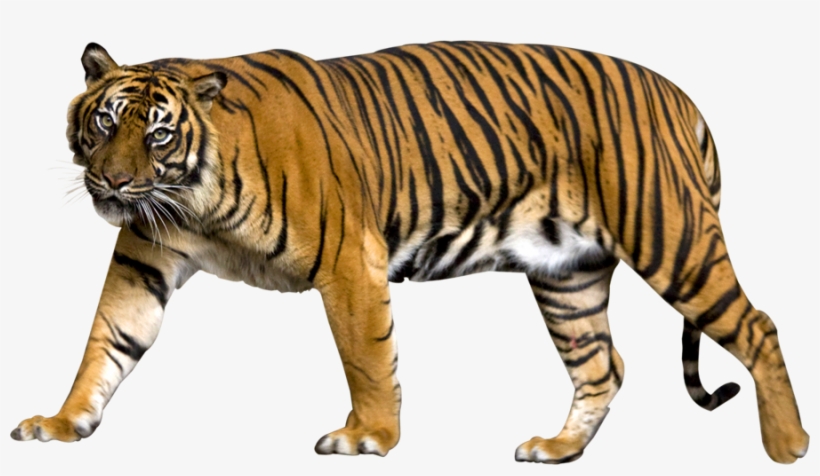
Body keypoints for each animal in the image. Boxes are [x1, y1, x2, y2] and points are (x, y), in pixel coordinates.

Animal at [9, 41, 809, 464]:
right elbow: (105, 345)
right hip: (568, 277)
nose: (113, 181)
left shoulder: (349, 261)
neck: (192, 200)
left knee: (758, 325)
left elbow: (367, 357)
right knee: (602, 365)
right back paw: (557, 449)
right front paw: (63, 422)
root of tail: (678, 94)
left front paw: (368, 436)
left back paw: (789, 445)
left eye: (158, 134)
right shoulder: (143, 261)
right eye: (103, 123)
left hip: (670, 237)